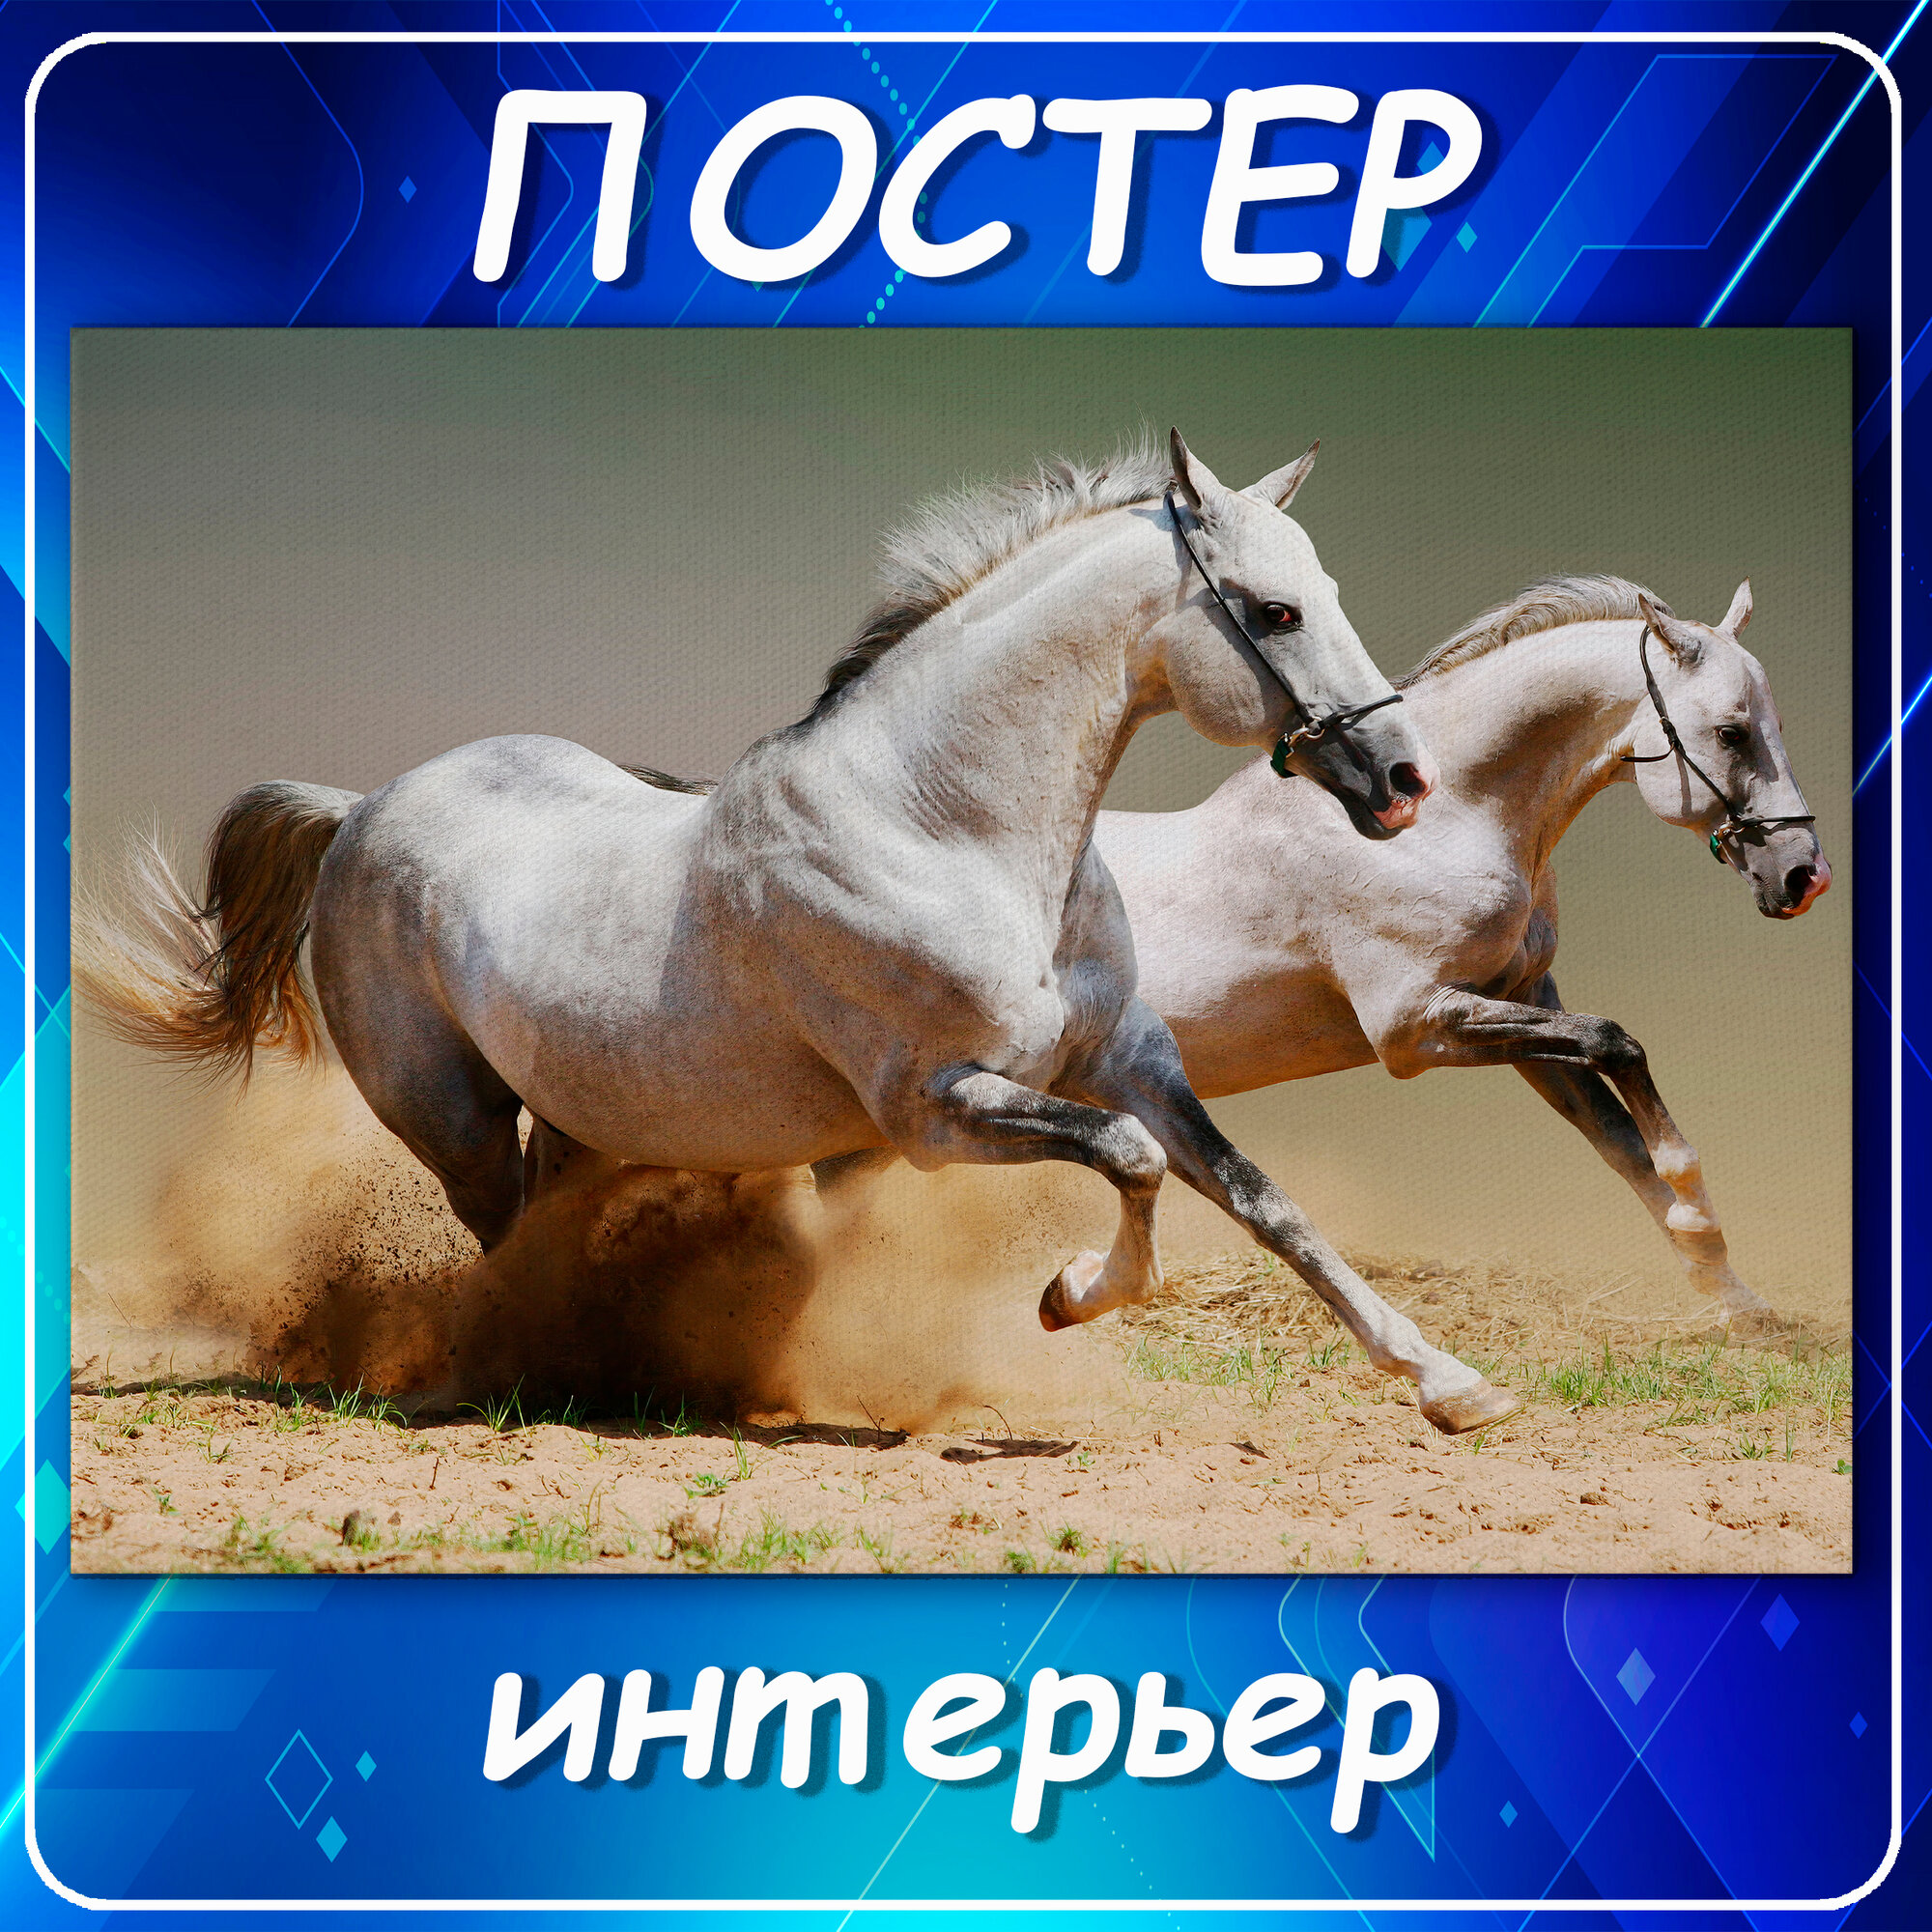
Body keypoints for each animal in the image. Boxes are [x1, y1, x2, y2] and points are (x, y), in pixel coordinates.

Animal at [76, 431, 1525, 1435]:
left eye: (1322, 587)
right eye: (1273, 610)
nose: (1400, 779)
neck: (945, 828)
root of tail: (362, 807)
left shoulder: (1129, 1061)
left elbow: (1262, 1201)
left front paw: (1453, 1384)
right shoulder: (932, 1109)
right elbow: (1127, 1164)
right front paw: (1066, 1296)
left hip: (587, 1122)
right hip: (457, 1121)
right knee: (500, 1249)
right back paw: (530, 1372)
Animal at [1094, 574, 1830, 1325]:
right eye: (1732, 733)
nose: (1804, 876)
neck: (1444, 823)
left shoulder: (1521, 1005)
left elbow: (1621, 1141)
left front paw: (1736, 1298)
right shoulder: (1416, 1027)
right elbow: (1616, 1043)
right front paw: (1697, 1213)